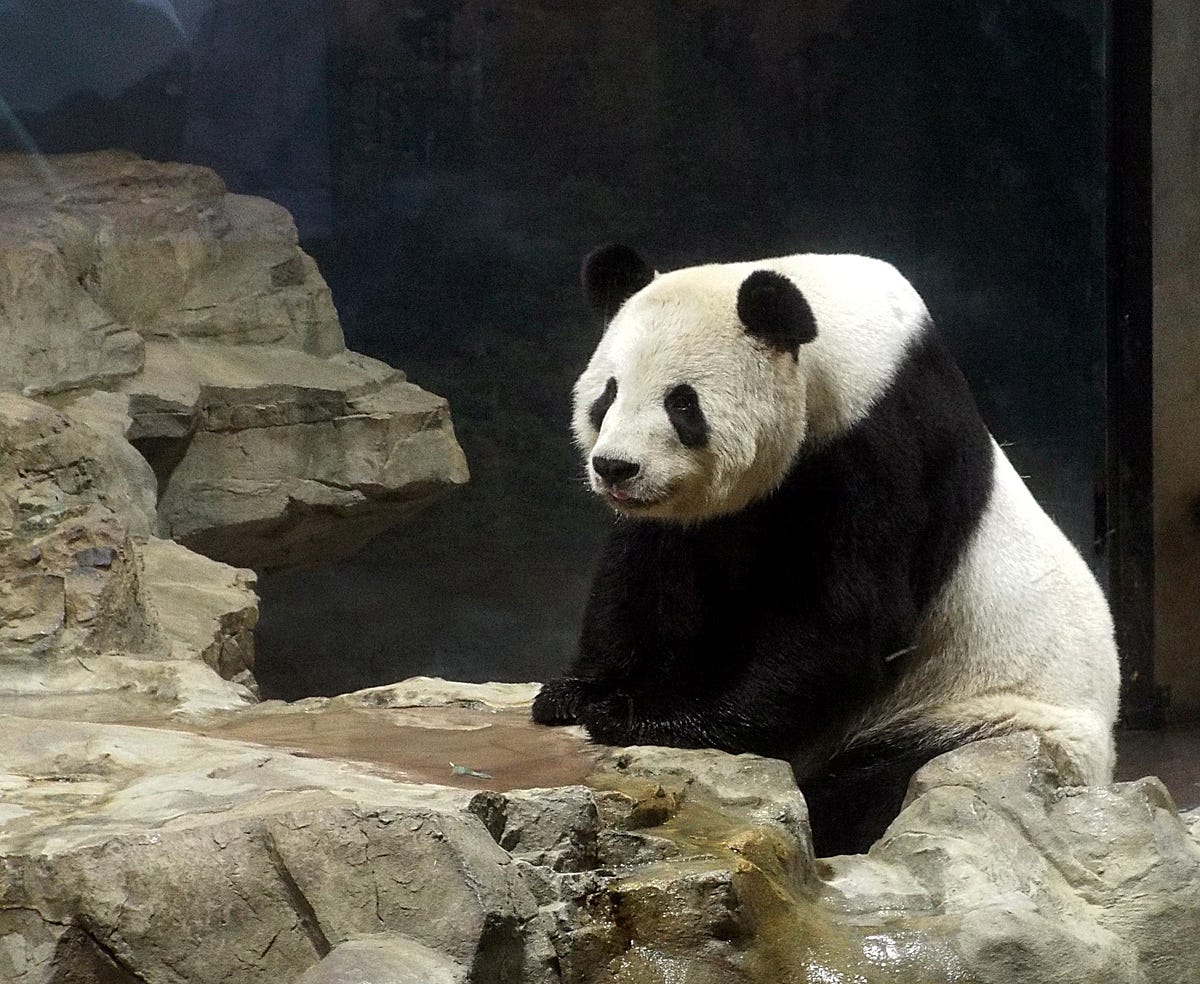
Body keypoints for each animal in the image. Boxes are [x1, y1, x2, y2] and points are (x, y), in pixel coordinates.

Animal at [532, 244, 1121, 855]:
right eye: (607, 394)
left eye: (683, 404)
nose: (615, 467)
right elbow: (650, 577)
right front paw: (581, 693)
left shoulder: (882, 444)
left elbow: (846, 621)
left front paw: (654, 720)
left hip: (990, 717)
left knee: (884, 781)